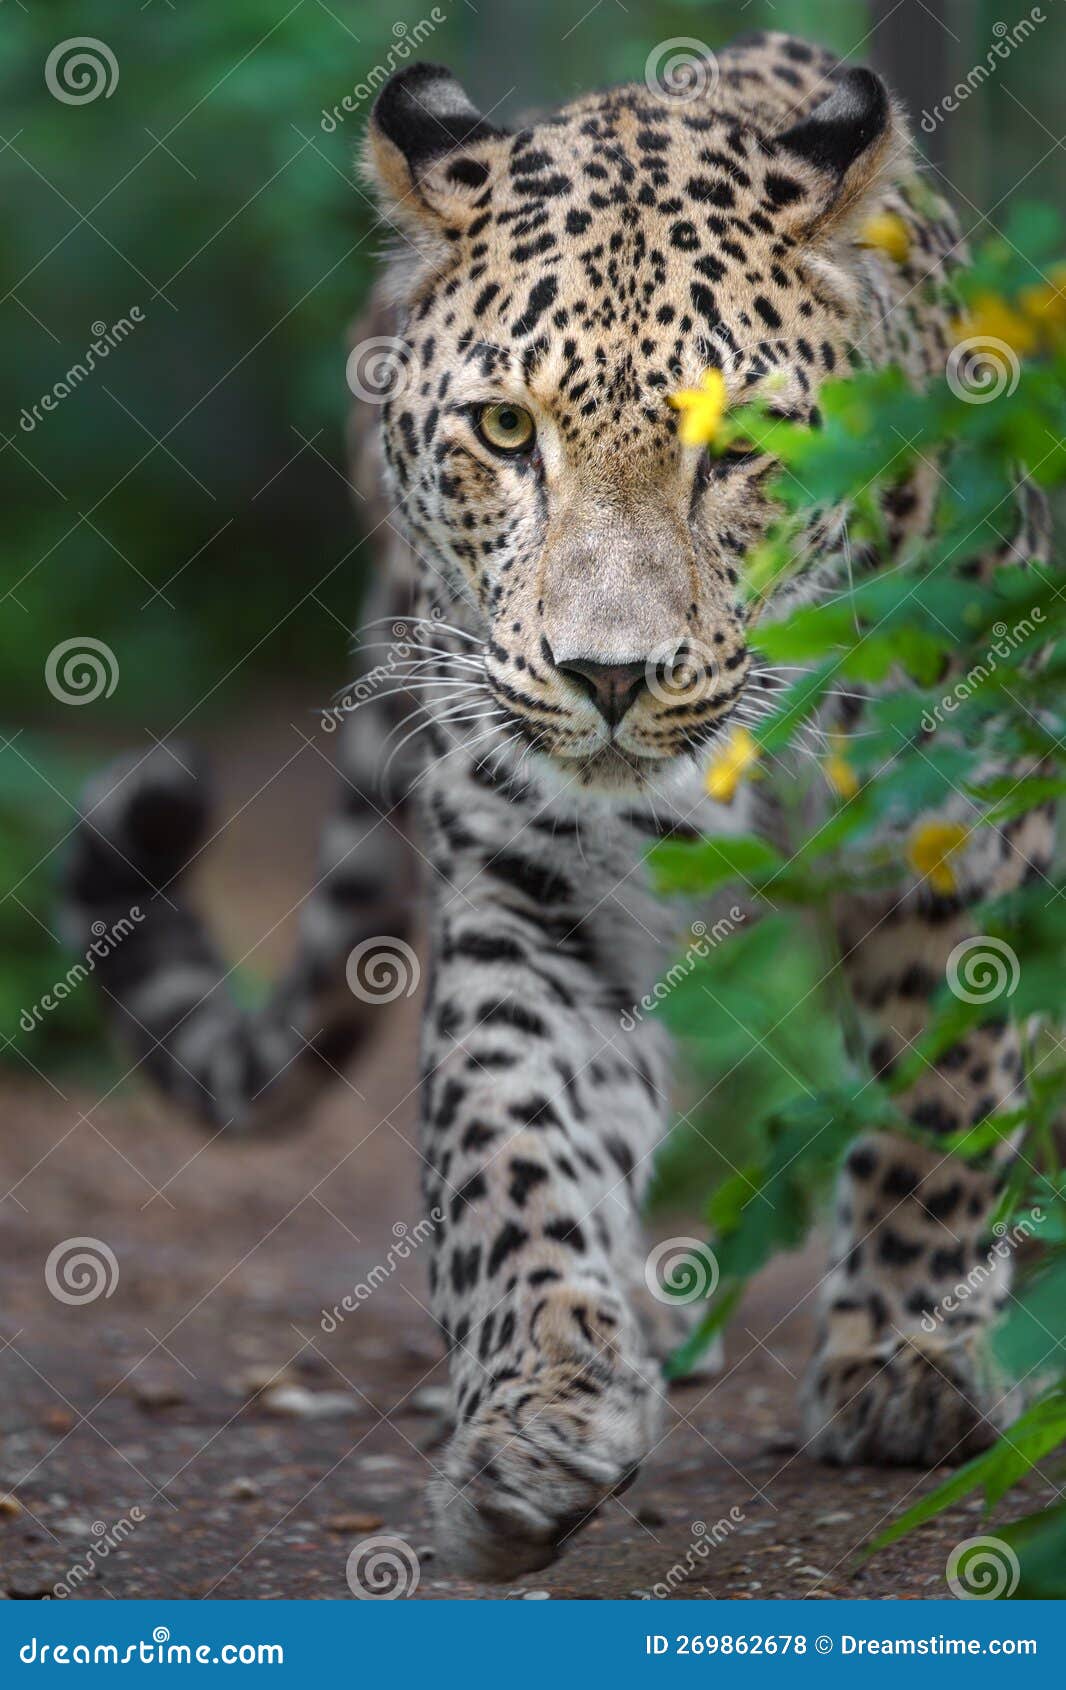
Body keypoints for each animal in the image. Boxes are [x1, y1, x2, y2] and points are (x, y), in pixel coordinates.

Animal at [66, 31, 1053, 1581]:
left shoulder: (952, 831)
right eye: (504, 429)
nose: (606, 674)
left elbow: (941, 1096)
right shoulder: (541, 899)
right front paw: (535, 1421)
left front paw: (909, 1363)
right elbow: (512, 1150)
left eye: (740, 444)